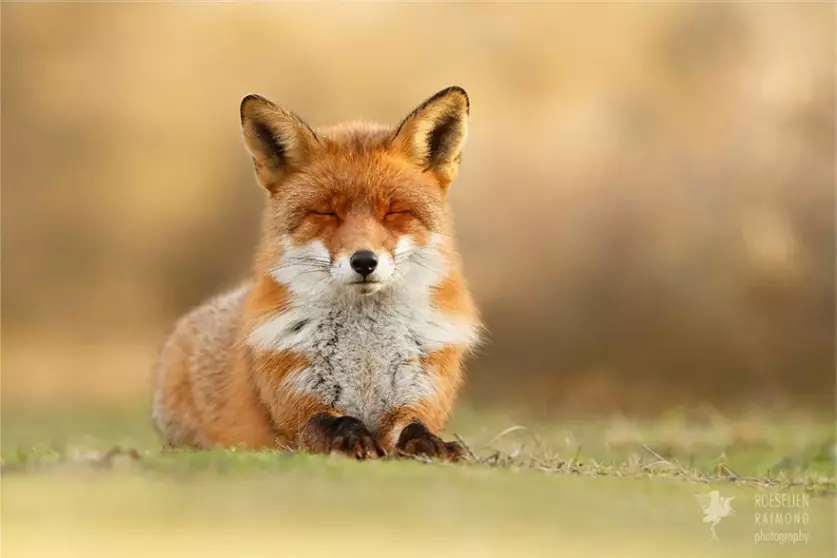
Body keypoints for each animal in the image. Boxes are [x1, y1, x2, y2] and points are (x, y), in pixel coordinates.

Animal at [149, 87, 476, 462]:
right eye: (326, 212)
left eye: (394, 211)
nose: (364, 261)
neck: (366, 354)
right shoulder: (297, 401)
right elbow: (336, 423)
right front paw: (354, 440)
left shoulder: (418, 392)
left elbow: (415, 427)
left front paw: (434, 445)